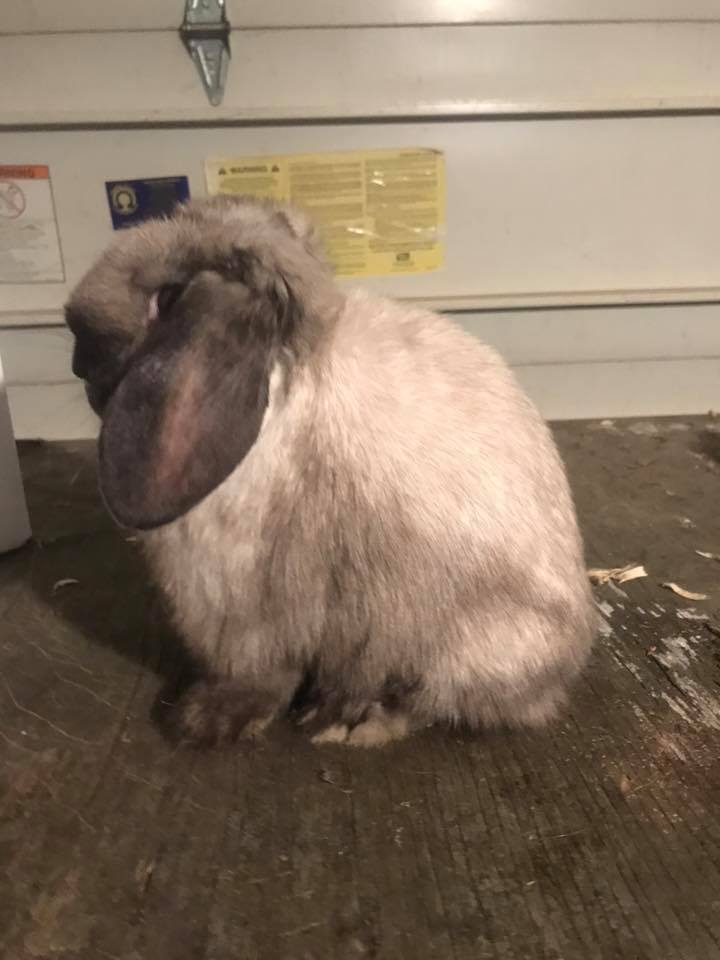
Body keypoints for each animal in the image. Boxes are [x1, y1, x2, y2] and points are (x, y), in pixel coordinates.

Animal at [64, 195, 596, 748]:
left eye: (166, 300)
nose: (80, 364)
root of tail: (563, 665)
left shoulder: (239, 606)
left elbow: (260, 673)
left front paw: (204, 721)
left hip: (470, 646)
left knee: (433, 699)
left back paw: (346, 721)